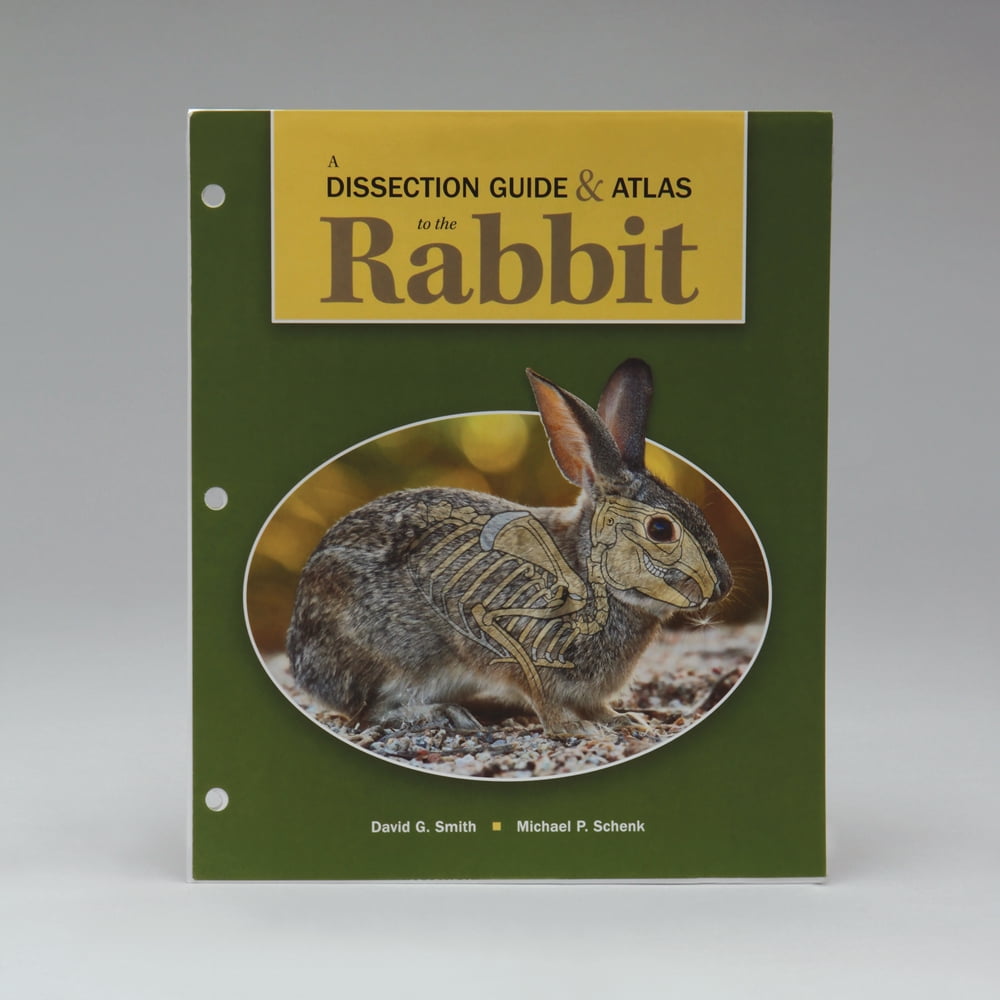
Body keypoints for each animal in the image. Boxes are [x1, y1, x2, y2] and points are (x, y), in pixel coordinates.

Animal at [286, 358, 732, 737]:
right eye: (660, 529)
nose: (722, 585)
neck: (587, 568)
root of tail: (302, 658)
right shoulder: (518, 647)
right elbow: (542, 698)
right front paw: (575, 729)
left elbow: (596, 706)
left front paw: (623, 720)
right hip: (399, 658)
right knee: (369, 712)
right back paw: (444, 714)